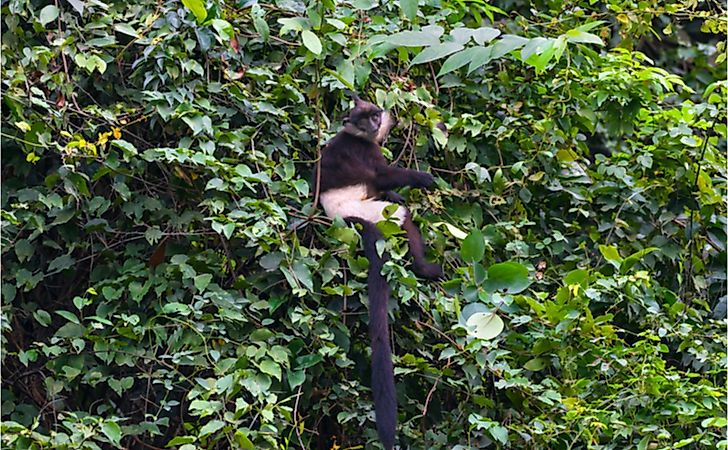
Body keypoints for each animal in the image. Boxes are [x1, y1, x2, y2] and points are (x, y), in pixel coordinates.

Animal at [314, 95, 442, 449]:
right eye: (365, 118)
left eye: (374, 113)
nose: (375, 123)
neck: (357, 137)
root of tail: (344, 219)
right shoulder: (363, 153)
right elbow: (382, 176)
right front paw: (421, 179)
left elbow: (384, 184)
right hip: (371, 213)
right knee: (401, 214)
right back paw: (425, 269)